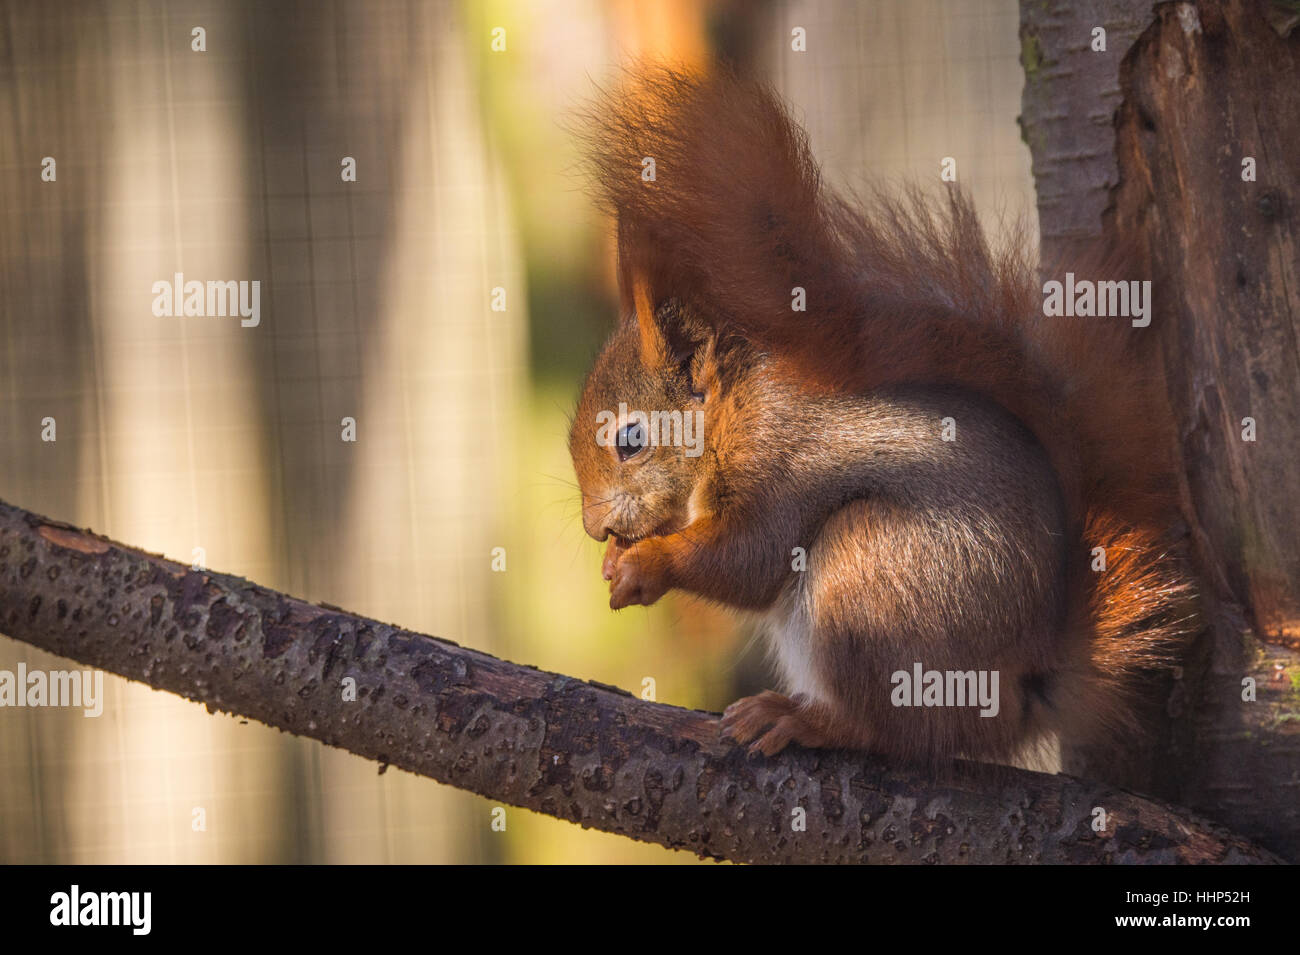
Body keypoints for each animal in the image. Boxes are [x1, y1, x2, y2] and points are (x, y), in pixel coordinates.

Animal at [568, 66, 1196, 768]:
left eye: (630, 438)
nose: (594, 528)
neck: (735, 414)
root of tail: (1021, 691)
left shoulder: (780, 463)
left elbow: (748, 559)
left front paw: (644, 565)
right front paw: (614, 561)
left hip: (870, 576)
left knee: (892, 730)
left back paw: (804, 719)